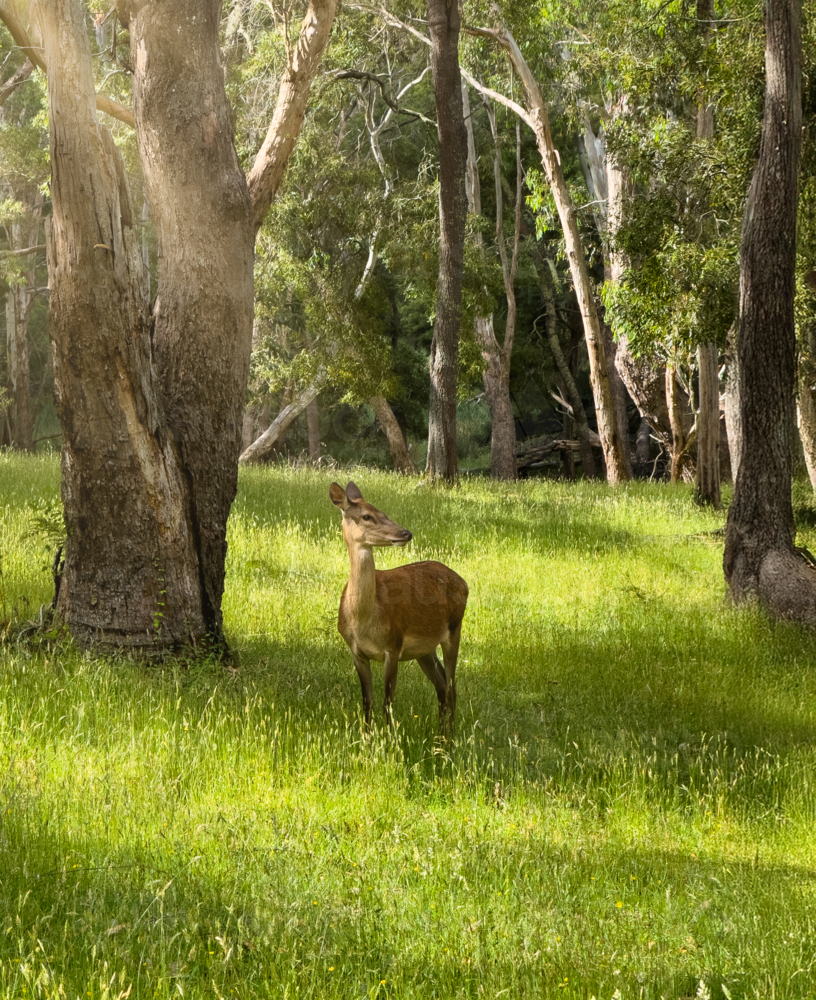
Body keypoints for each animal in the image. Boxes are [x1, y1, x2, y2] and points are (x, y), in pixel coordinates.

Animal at [329, 481, 468, 730]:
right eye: (367, 516)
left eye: (384, 512)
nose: (406, 533)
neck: (362, 620)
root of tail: (464, 583)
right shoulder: (356, 652)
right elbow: (367, 702)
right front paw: (367, 736)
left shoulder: (392, 645)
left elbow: (387, 703)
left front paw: (388, 736)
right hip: (425, 649)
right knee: (442, 685)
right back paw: (441, 733)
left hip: (455, 627)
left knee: (452, 687)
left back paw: (450, 735)